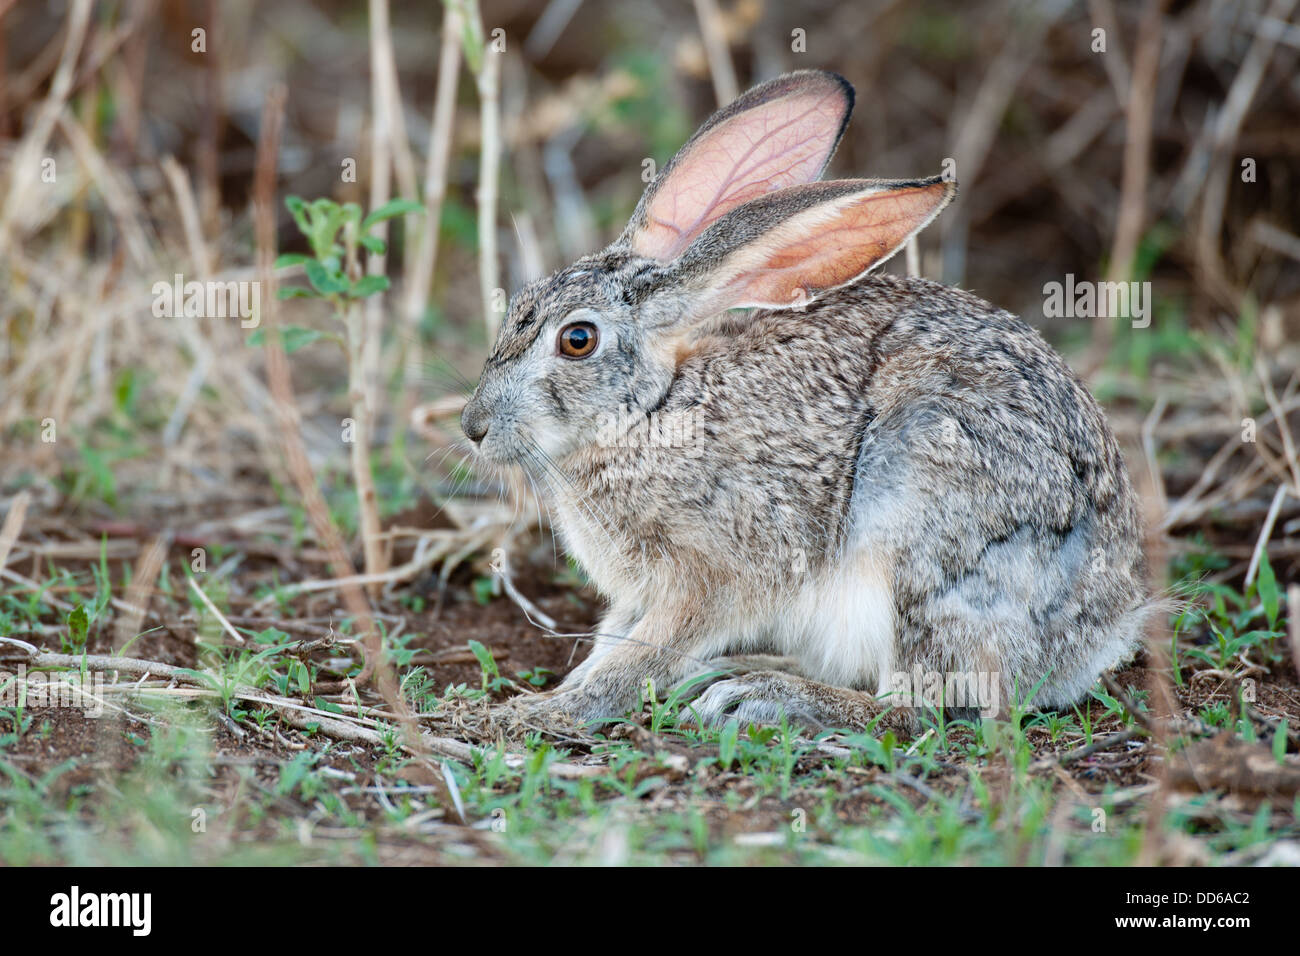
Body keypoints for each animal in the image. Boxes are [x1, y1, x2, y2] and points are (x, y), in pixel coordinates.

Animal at [460, 69, 1150, 733]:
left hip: (924, 541)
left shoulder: (710, 575)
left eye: (577, 340)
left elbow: (642, 653)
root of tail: (1104, 626)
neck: (650, 411)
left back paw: (759, 696)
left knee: (915, 707)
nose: (473, 426)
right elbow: (614, 640)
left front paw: (543, 710)